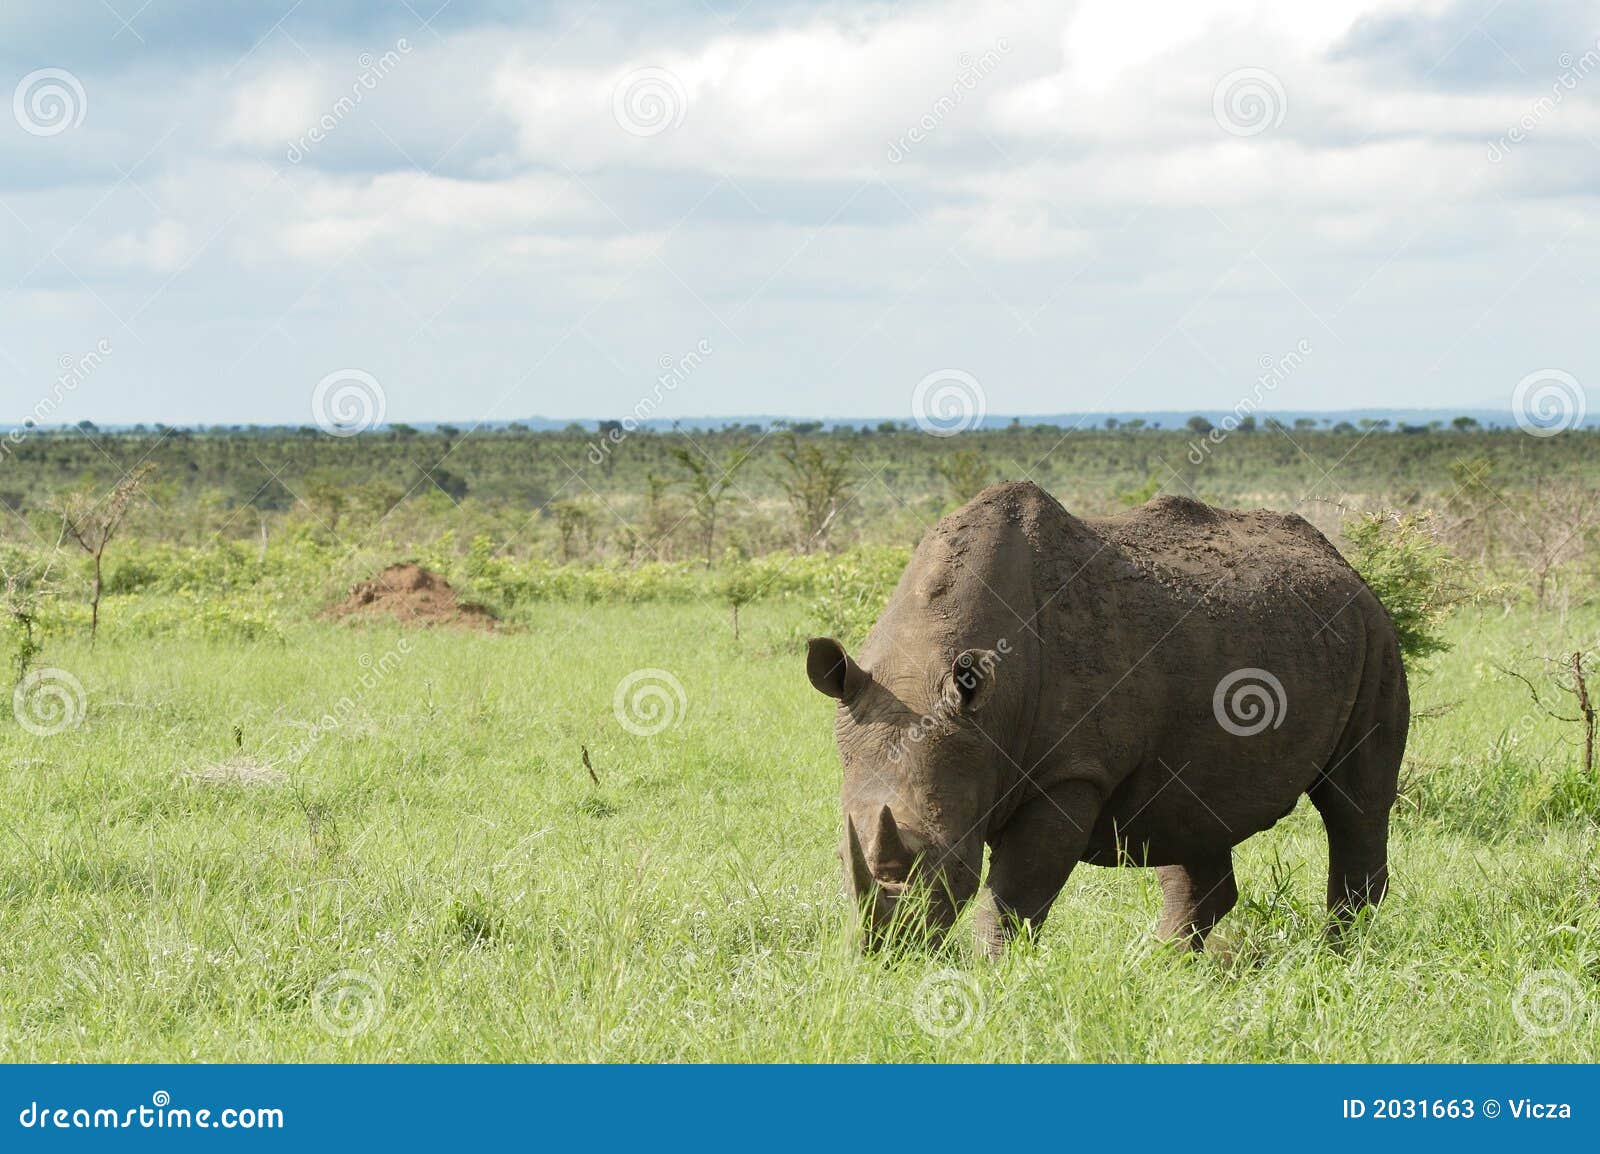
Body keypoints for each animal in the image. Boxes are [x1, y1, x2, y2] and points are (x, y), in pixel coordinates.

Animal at [807, 481, 1408, 956]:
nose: (886, 953)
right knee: (1188, 815)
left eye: (951, 862)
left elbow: (1016, 894)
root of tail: (1345, 564)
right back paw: (1166, 968)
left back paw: (1338, 956)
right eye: (839, 853)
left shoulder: (1071, 772)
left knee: (1355, 804)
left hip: (1375, 634)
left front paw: (991, 973)